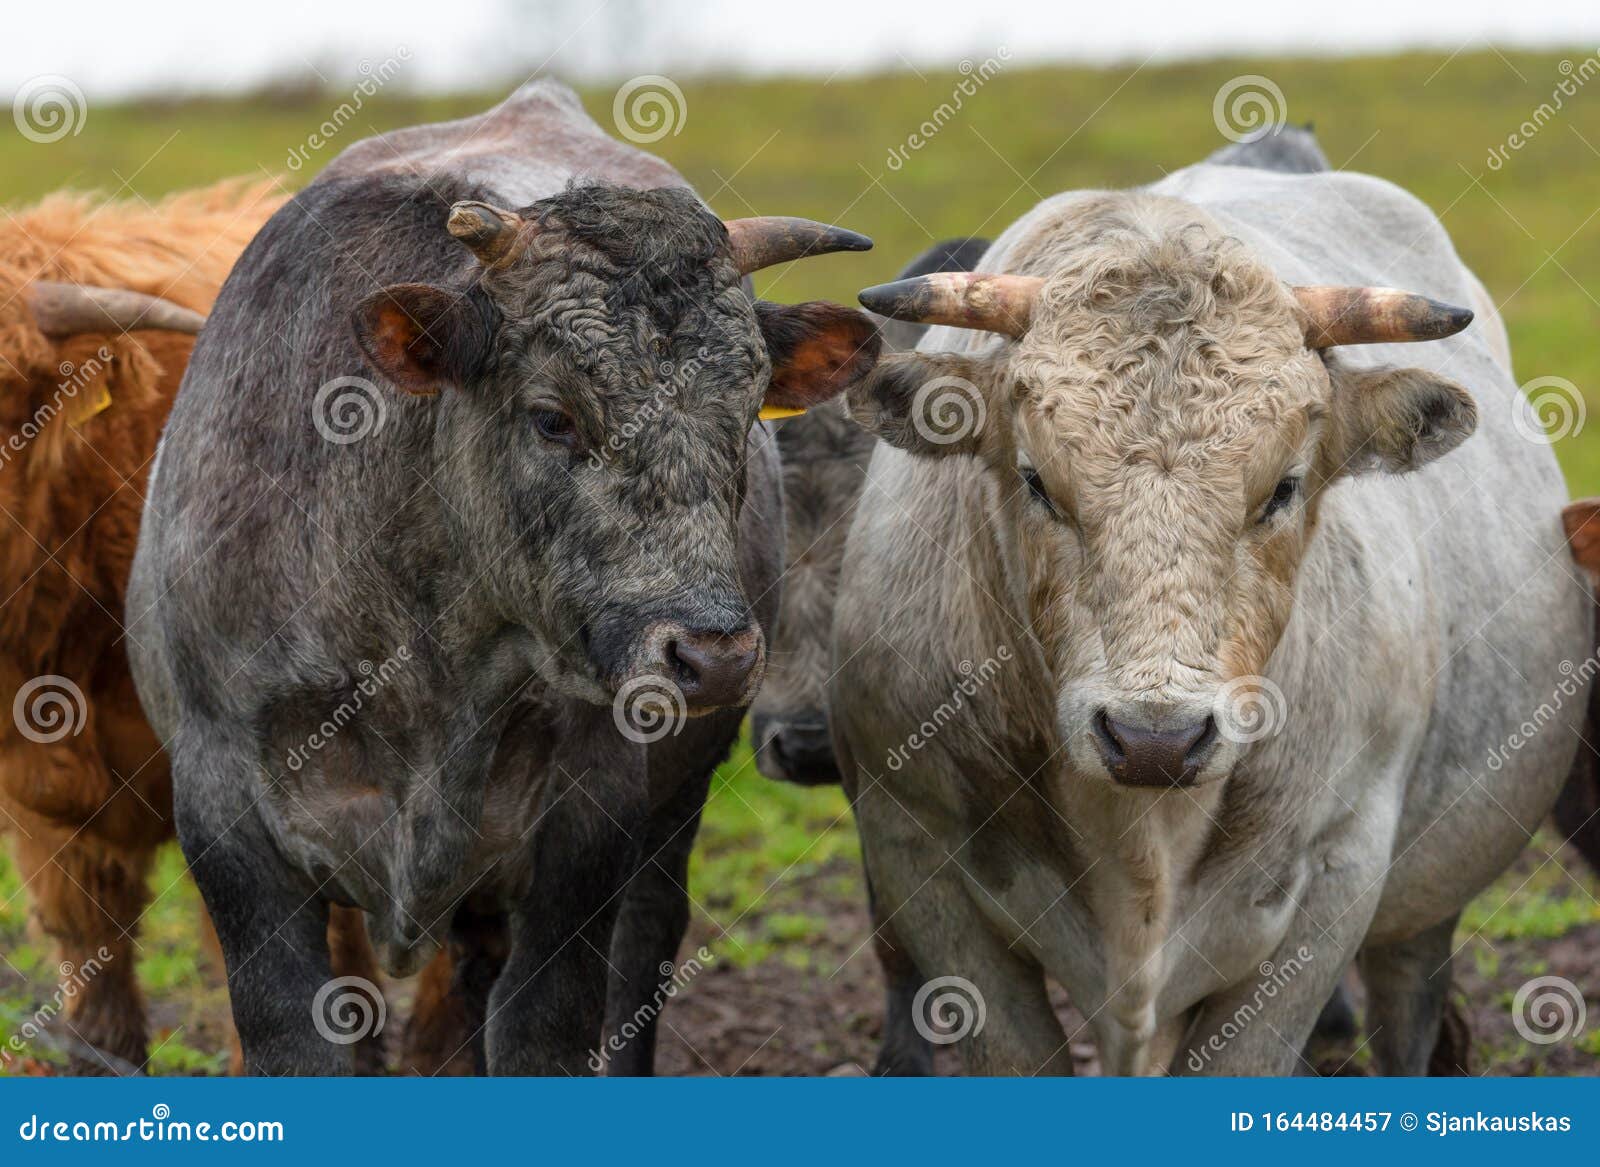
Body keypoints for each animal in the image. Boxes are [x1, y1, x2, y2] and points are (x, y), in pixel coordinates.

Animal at [124, 80, 881, 1075]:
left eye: (748, 408)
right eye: (553, 416)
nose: (712, 654)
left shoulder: (590, 821)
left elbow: (546, 1024)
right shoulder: (224, 818)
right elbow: (300, 1036)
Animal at [830, 125, 1590, 1075]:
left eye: (1284, 488)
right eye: (1036, 480)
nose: (1155, 737)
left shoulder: (1336, 877)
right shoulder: (918, 857)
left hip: (1420, 908)